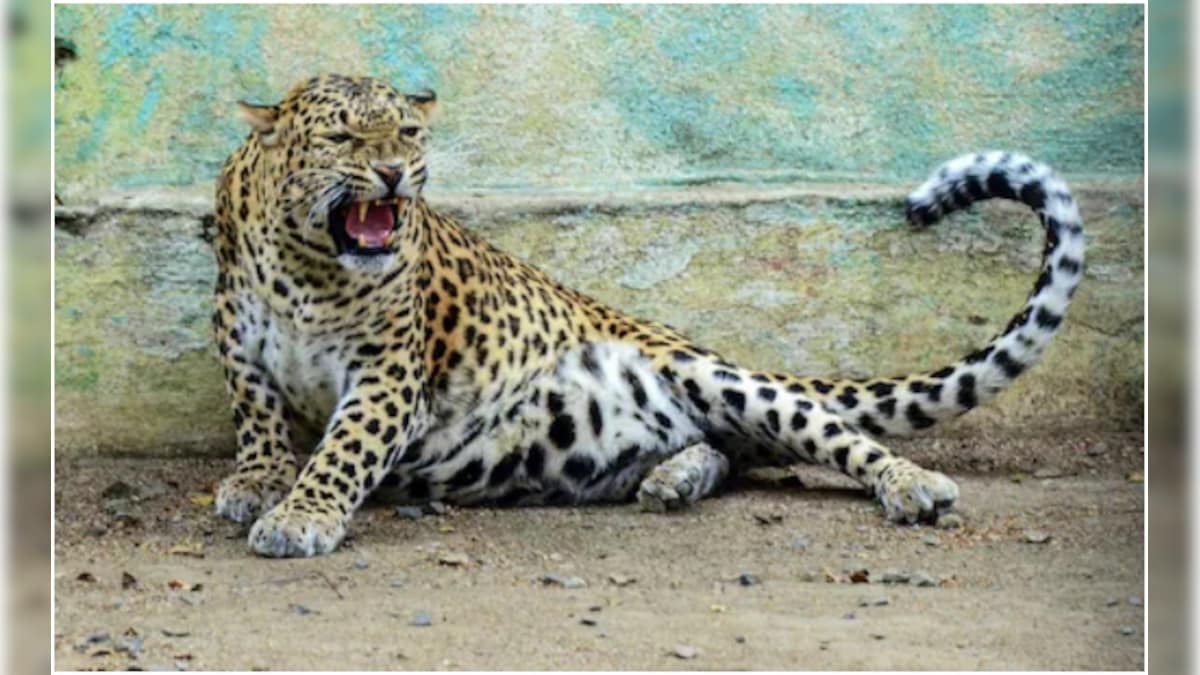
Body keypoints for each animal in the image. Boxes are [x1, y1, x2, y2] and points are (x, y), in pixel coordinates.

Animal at [211, 74, 1085, 557]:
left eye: (408, 131)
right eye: (342, 135)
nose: (394, 172)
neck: (308, 268)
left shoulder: (388, 372)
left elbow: (344, 450)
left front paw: (301, 515)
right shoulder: (236, 335)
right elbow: (255, 412)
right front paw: (260, 480)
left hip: (712, 375)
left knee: (829, 434)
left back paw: (913, 484)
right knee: (730, 450)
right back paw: (672, 477)